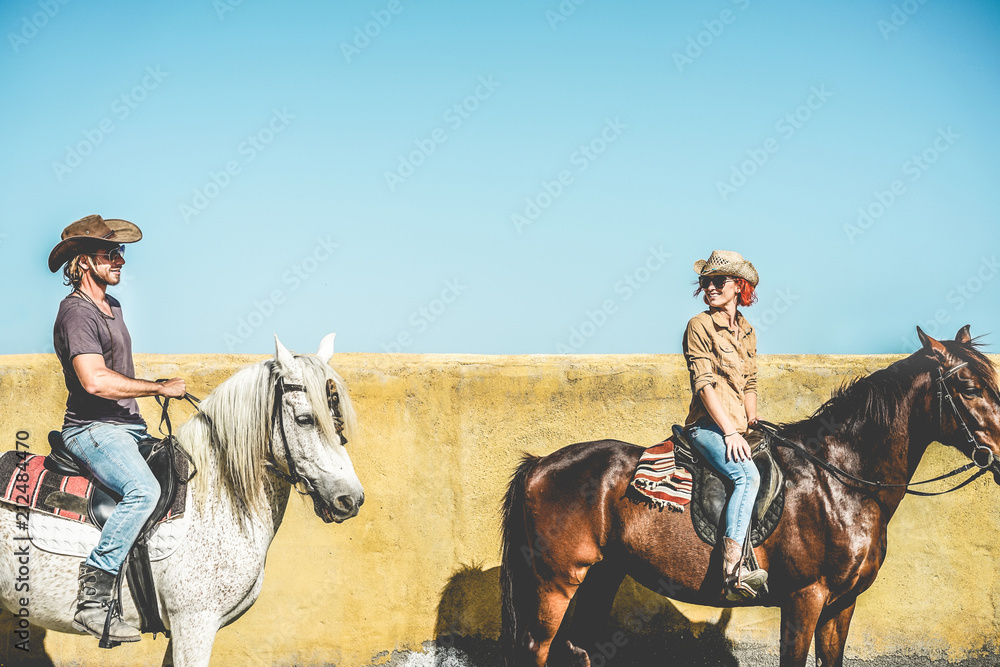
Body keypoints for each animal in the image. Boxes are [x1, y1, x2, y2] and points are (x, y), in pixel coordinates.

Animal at [0, 333, 364, 667]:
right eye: (305, 419)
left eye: (338, 422)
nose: (350, 498)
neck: (214, 498)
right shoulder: (194, 622)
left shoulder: (180, 630)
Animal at [500, 326, 1000, 667]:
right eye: (969, 388)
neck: (842, 482)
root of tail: (539, 464)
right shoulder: (804, 598)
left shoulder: (841, 604)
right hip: (556, 581)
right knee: (538, 648)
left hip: (601, 574)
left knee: (579, 647)